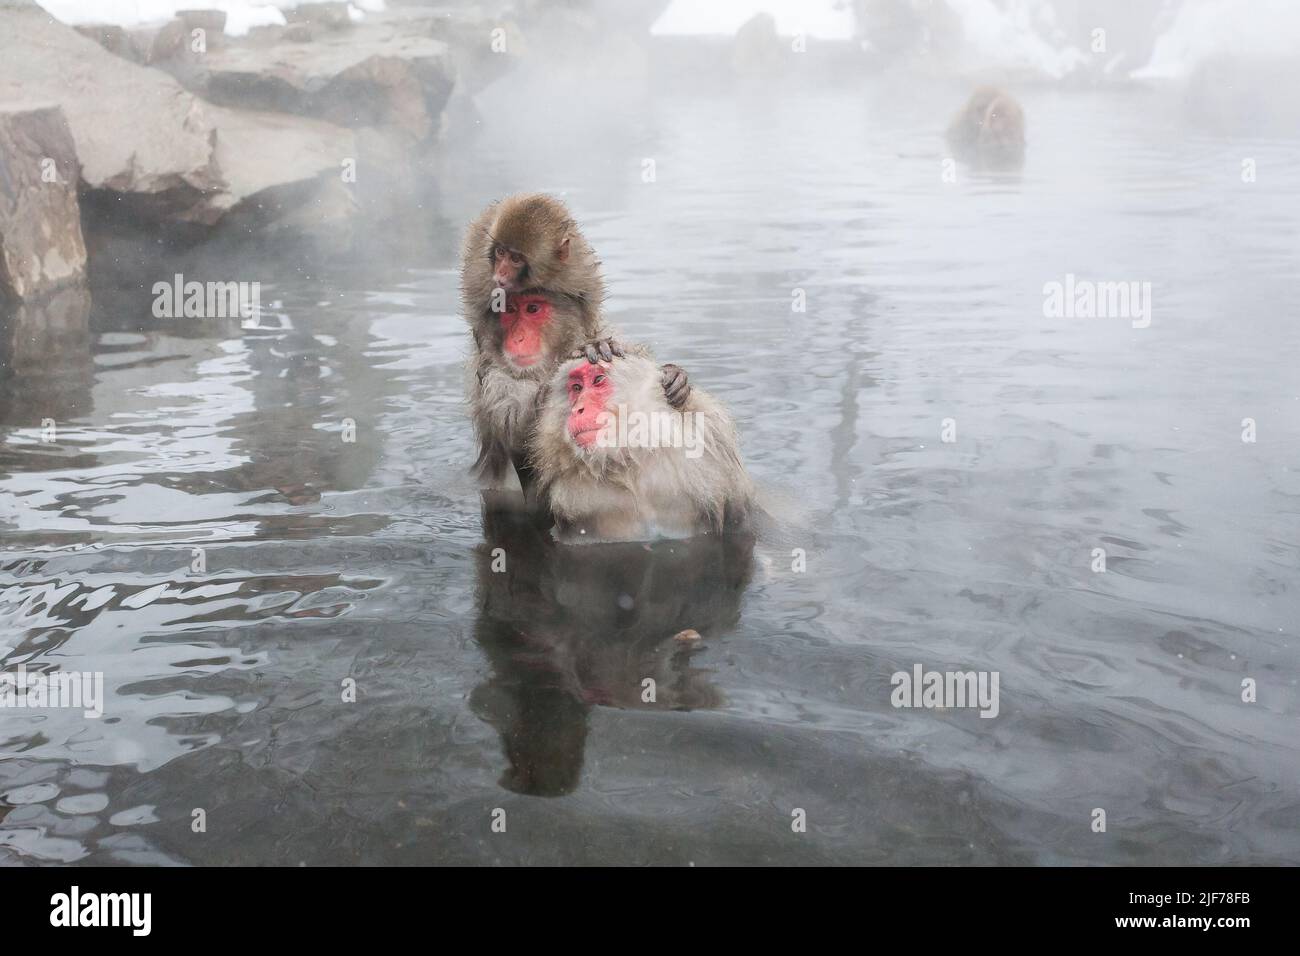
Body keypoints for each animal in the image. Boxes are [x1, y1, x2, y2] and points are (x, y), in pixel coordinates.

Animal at [461, 193, 690, 491]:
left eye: (532, 309)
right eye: (508, 309)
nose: (519, 338)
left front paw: (675, 378)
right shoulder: (496, 380)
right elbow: (521, 445)